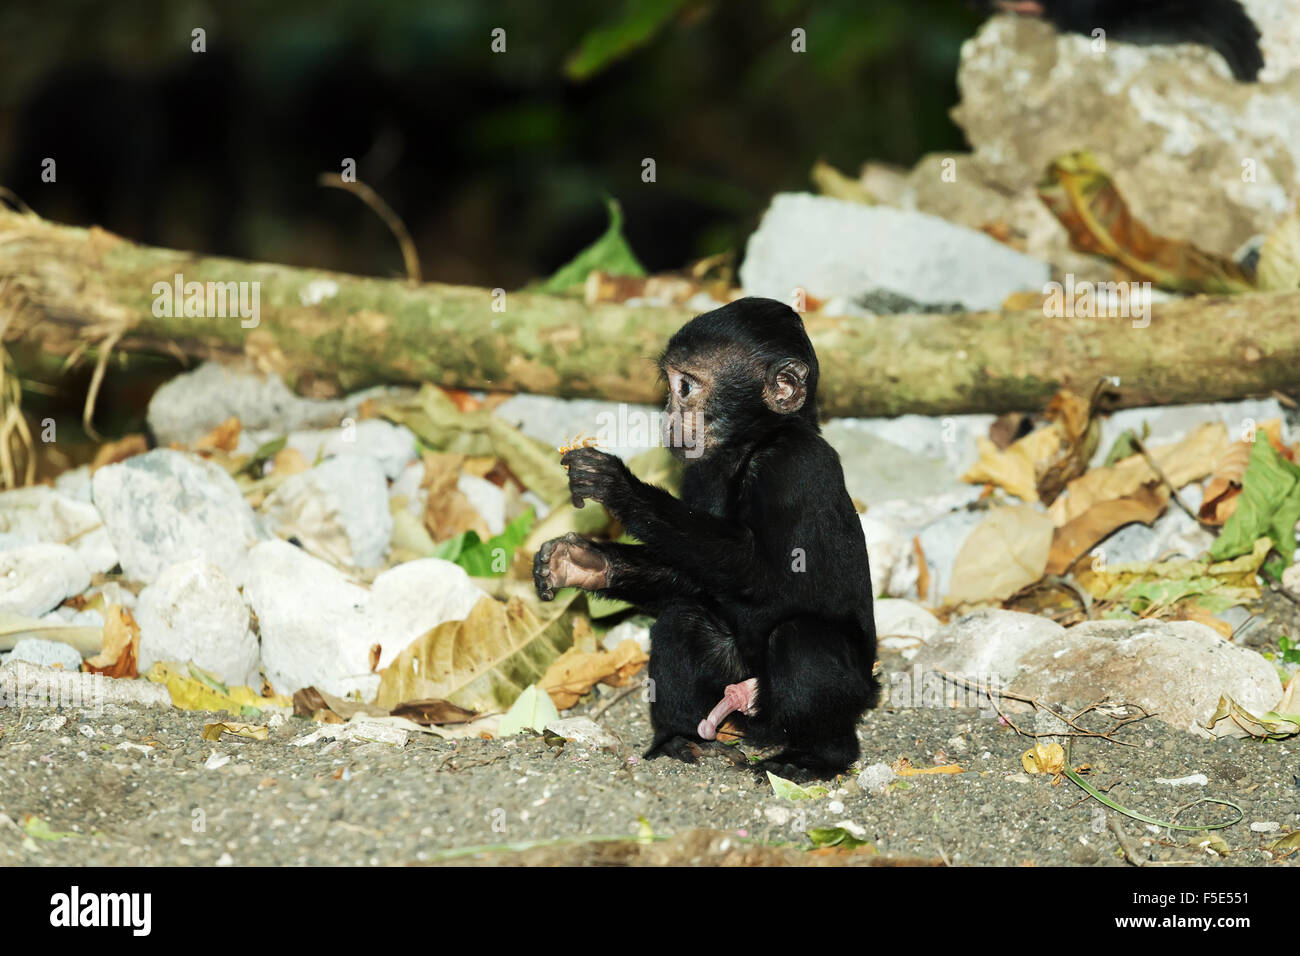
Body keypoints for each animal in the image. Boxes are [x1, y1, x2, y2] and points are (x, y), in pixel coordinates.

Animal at [533, 297, 877, 778]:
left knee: (800, 638)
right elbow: (693, 581)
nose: (668, 417)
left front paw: (619, 487)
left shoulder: (795, 465)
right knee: (683, 620)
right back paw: (681, 737)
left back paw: (818, 756)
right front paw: (583, 564)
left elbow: (767, 576)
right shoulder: (699, 473)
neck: (750, 447)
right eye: (671, 386)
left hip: (846, 692)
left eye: (685, 387)